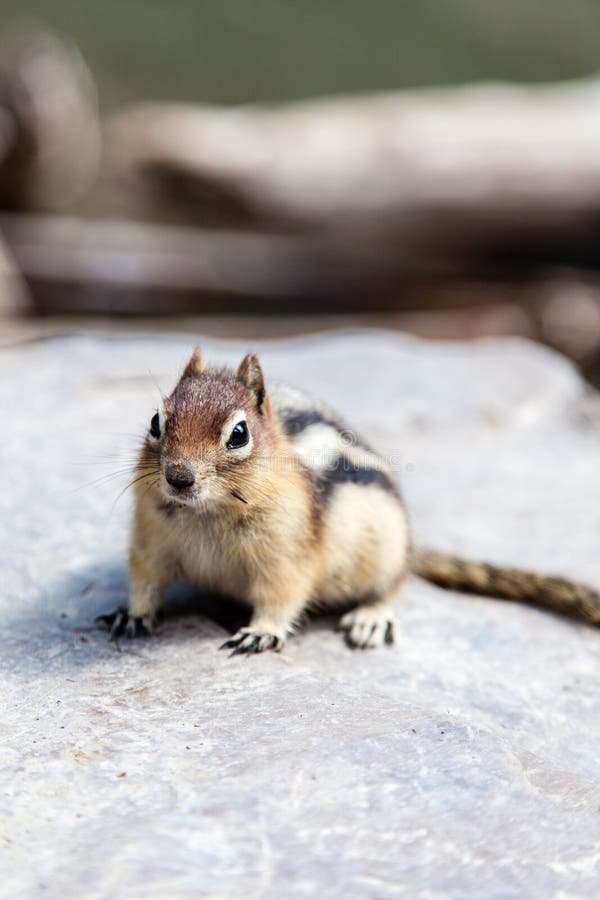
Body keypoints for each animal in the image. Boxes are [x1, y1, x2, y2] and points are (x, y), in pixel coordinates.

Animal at [98, 347, 600, 654]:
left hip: (385, 550)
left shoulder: (287, 554)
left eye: (238, 434)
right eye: (156, 421)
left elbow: (283, 595)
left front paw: (261, 632)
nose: (178, 477)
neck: (206, 513)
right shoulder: (151, 540)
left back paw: (371, 619)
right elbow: (145, 579)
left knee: (393, 585)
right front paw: (133, 614)